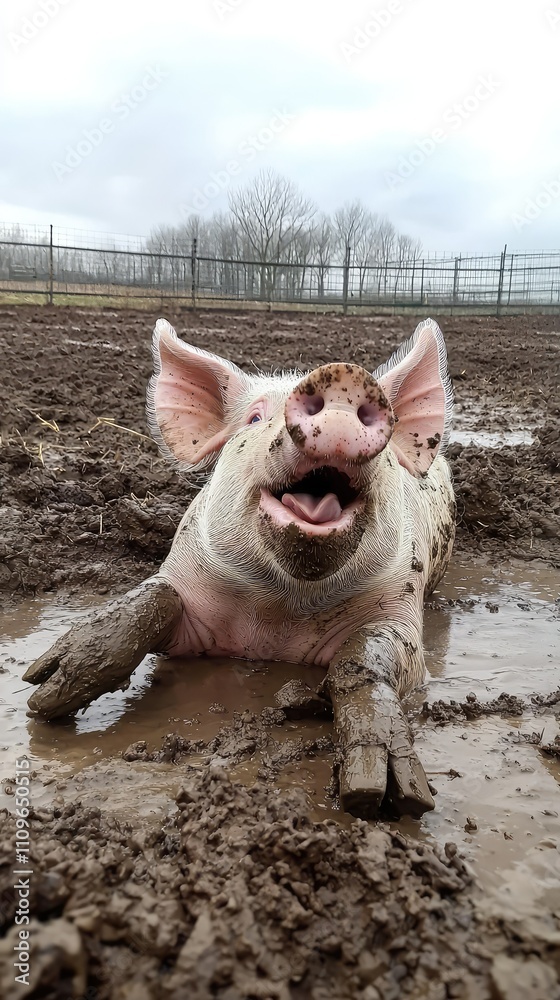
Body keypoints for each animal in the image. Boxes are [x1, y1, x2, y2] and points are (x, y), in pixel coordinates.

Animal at [24, 316, 455, 819]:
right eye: (253, 417)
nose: (343, 376)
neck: (277, 619)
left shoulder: (400, 602)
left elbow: (367, 655)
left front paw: (384, 795)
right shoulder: (186, 574)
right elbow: (157, 597)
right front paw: (42, 695)